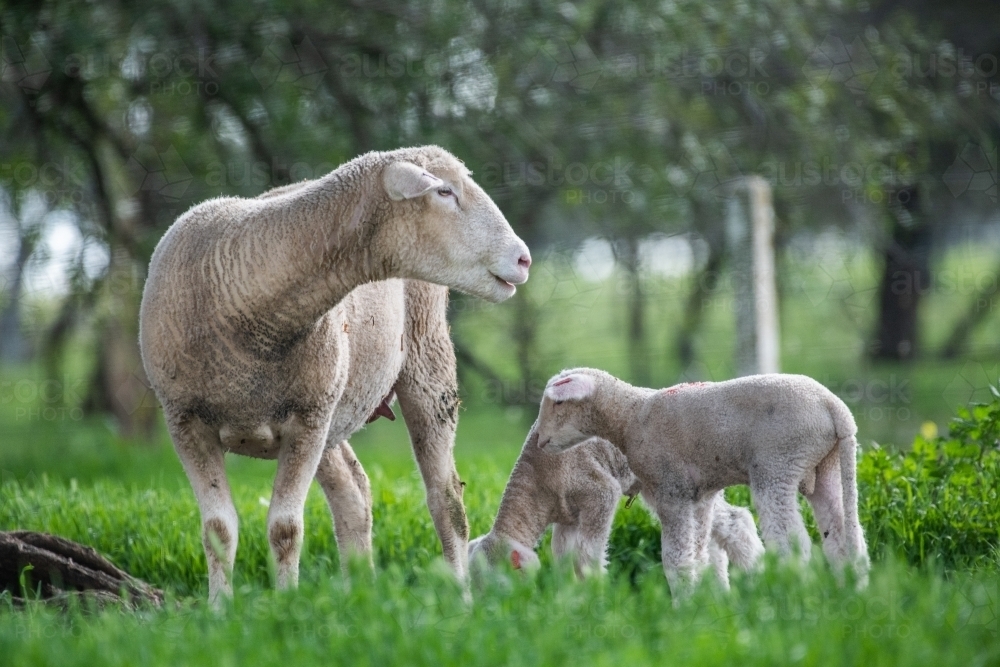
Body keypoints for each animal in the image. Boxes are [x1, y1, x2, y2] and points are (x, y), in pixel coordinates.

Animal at [139, 146, 531, 604]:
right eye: (444, 191)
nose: (523, 258)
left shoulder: (307, 420)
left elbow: (285, 529)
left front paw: (285, 606)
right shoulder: (185, 421)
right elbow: (218, 530)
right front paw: (219, 610)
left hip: (425, 363)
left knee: (446, 499)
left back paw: (460, 599)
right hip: (334, 406)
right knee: (355, 494)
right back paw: (359, 594)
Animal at [469, 426, 764, 588]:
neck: (538, 483)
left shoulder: (599, 492)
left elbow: (587, 554)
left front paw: (596, 590)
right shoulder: (567, 517)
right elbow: (563, 556)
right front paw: (569, 594)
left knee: (733, 523)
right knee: (726, 527)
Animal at [534, 369, 869, 597]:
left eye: (556, 404)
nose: (538, 441)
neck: (629, 417)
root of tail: (836, 409)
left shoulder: (671, 491)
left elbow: (675, 558)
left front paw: (683, 604)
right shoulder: (699, 495)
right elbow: (699, 553)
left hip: (778, 464)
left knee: (792, 542)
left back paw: (791, 592)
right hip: (824, 466)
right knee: (842, 535)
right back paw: (850, 591)